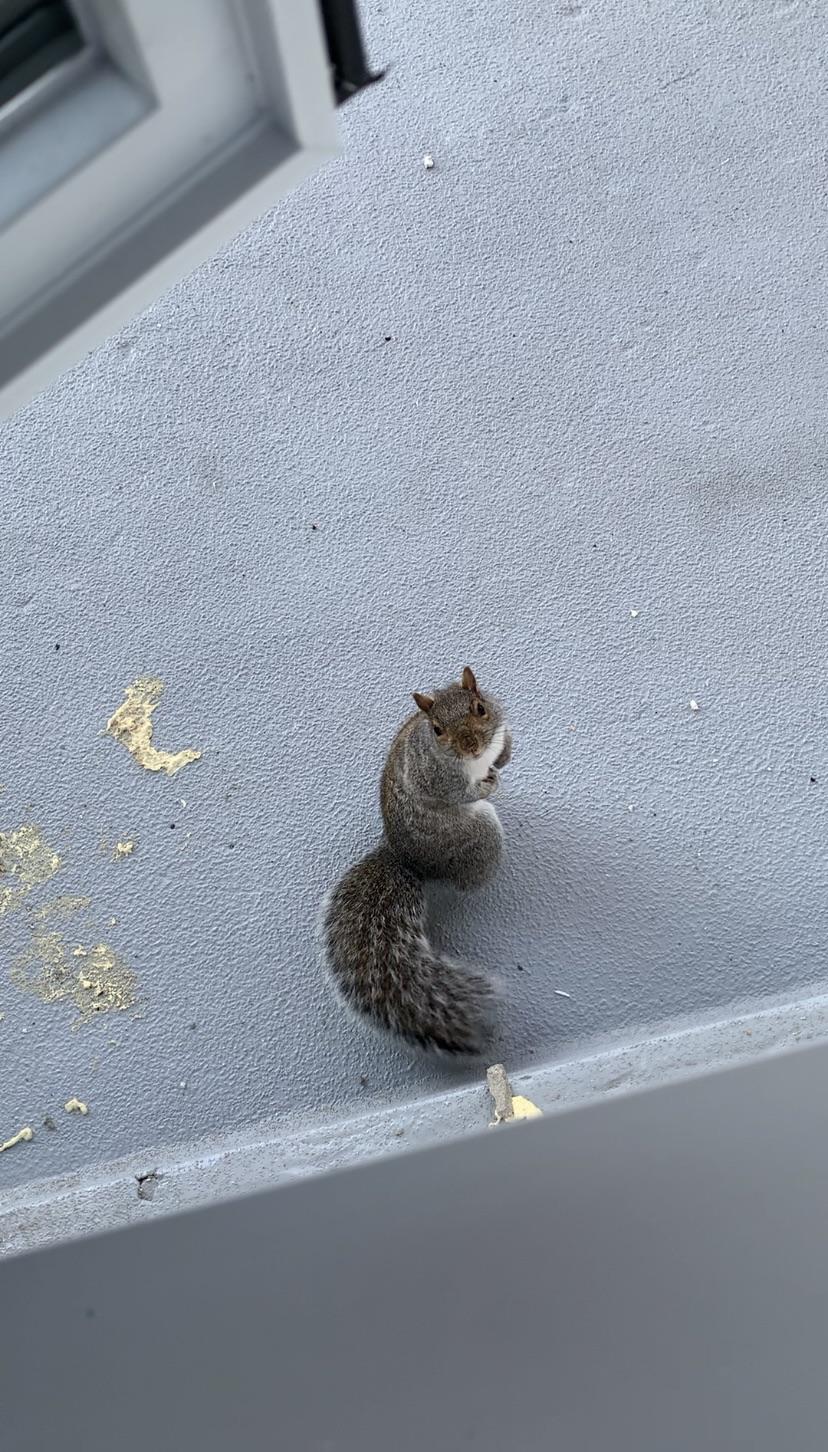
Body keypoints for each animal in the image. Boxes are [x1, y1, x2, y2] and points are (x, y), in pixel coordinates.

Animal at [322, 666, 512, 1055]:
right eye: (437, 729)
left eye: (481, 707)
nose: (471, 745)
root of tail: (406, 859)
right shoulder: (436, 780)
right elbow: (461, 793)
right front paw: (488, 784)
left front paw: (506, 753)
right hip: (477, 834)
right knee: (469, 878)